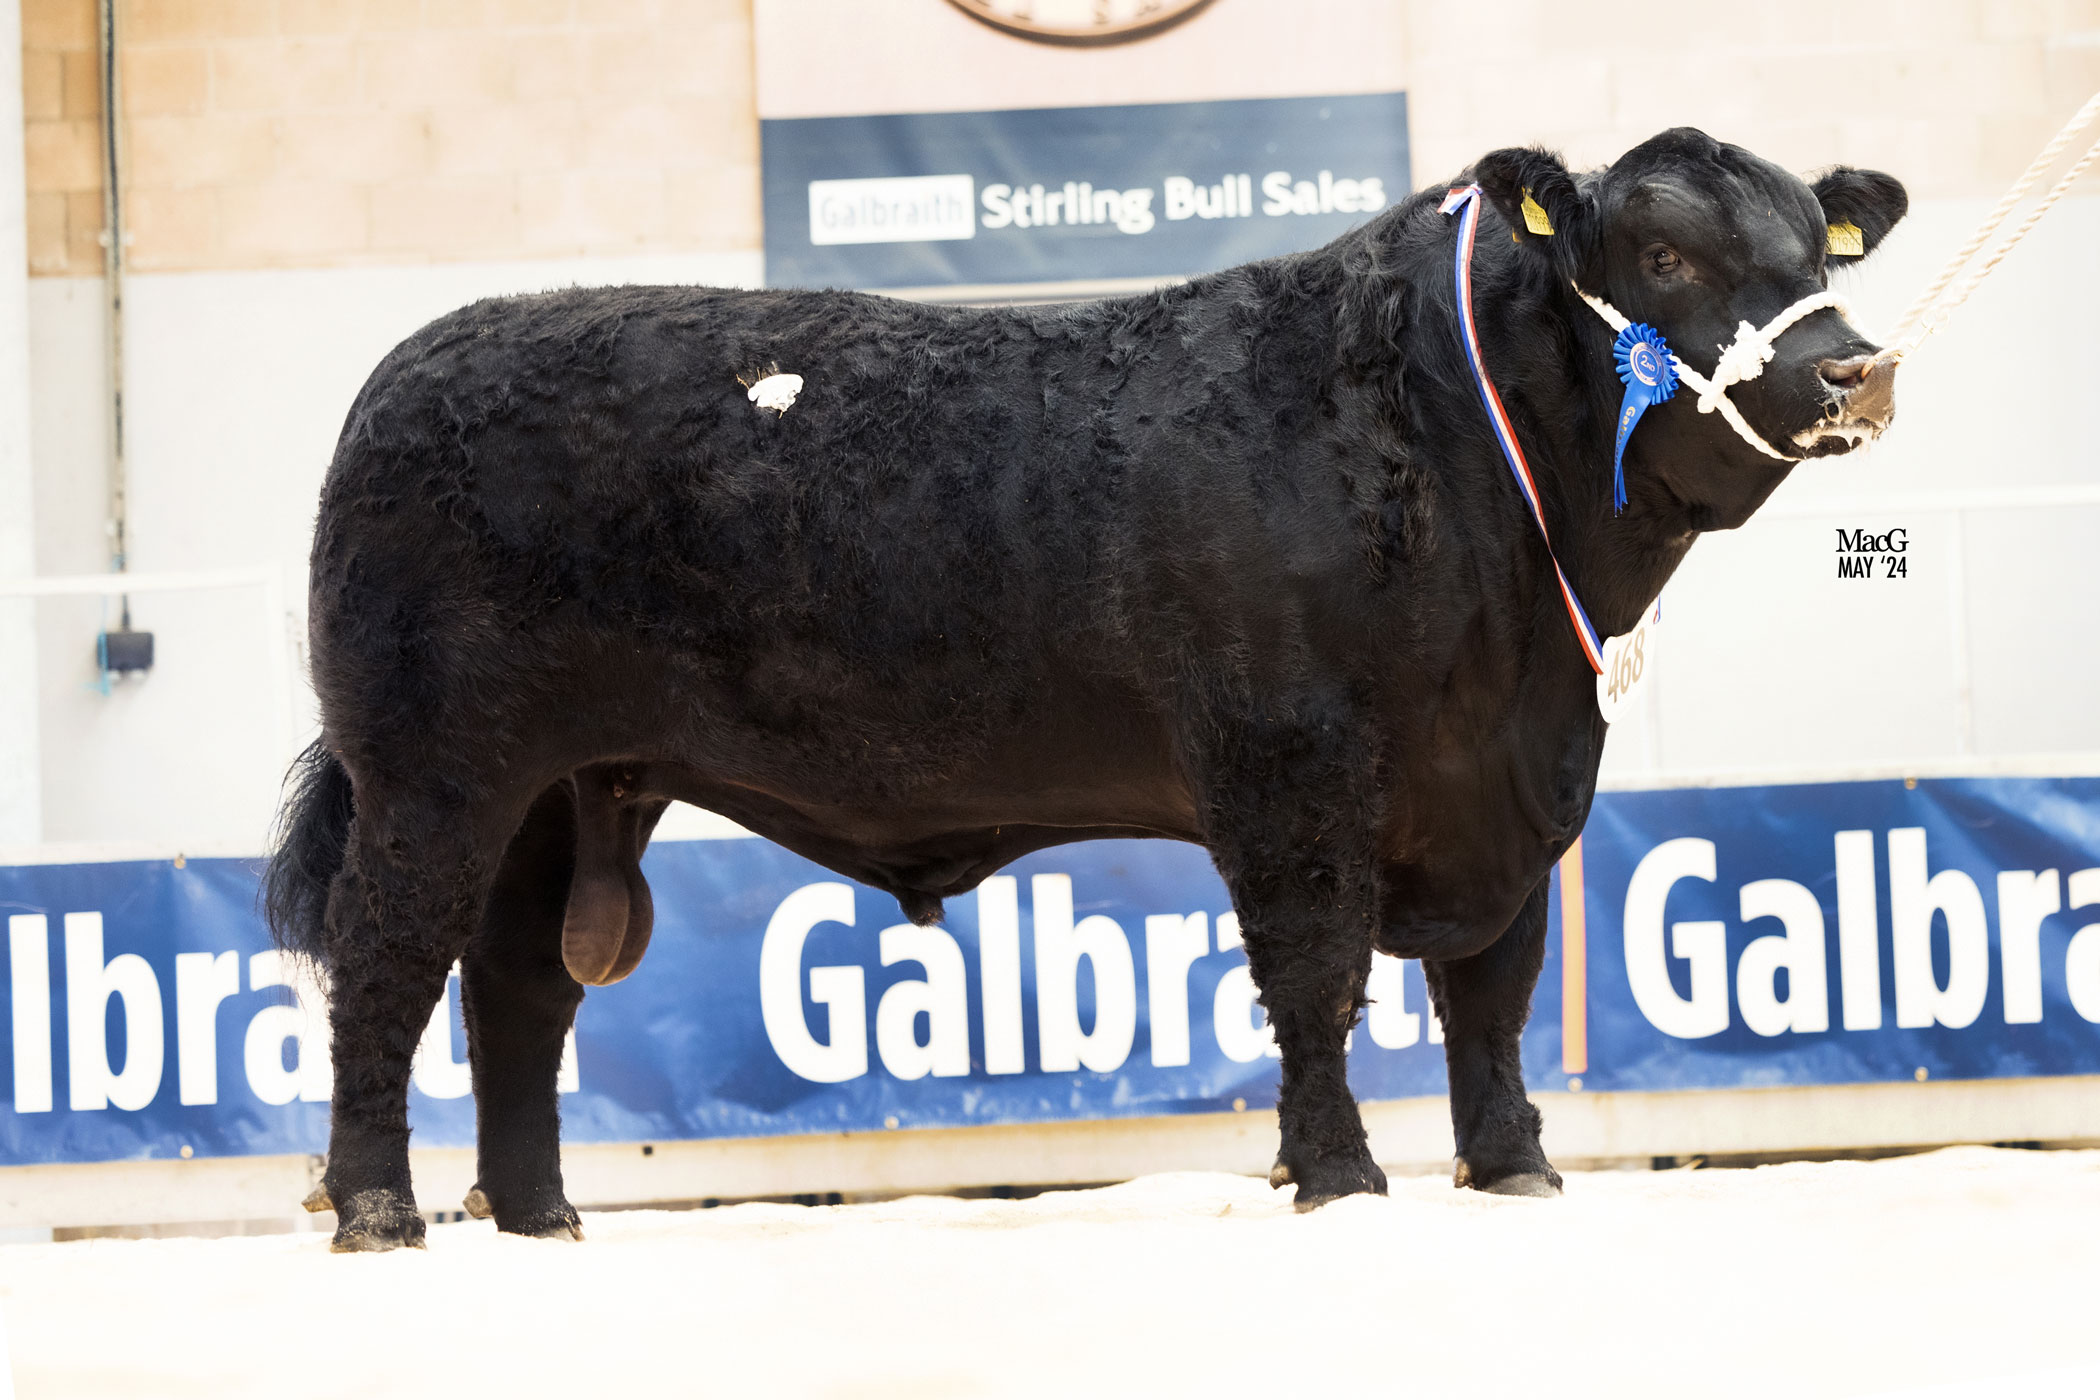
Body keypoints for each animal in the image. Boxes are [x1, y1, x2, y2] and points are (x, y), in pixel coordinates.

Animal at [264, 127, 1907, 1251]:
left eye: (1823, 256)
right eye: (1669, 257)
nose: (1857, 371)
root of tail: (413, 362)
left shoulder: (1511, 791)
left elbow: (1492, 994)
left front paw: (1516, 1171)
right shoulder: (1288, 768)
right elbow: (1316, 977)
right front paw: (1341, 1176)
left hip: (562, 786)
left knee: (518, 986)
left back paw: (539, 1215)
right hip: (433, 773)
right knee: (389, 965)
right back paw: (377, 1211)